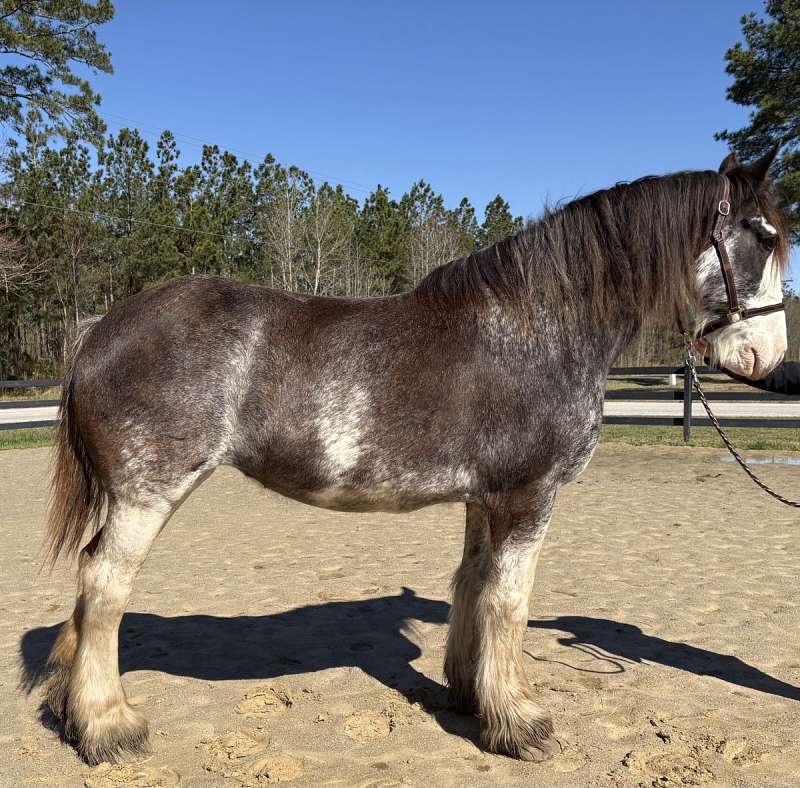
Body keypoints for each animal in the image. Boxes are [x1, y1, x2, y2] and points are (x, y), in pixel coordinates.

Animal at [42, 147, 788, 764]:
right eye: (765, 236)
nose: (767, 358)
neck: (539, 325)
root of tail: (100, 330)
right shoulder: (528, 495)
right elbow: (510, 599)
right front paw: (520, 723)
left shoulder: (484, 499)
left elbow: (472, 584)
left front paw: (471, 696)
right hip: (147, 494)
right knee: (105, 585)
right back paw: (109, 728)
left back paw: (70, 707)